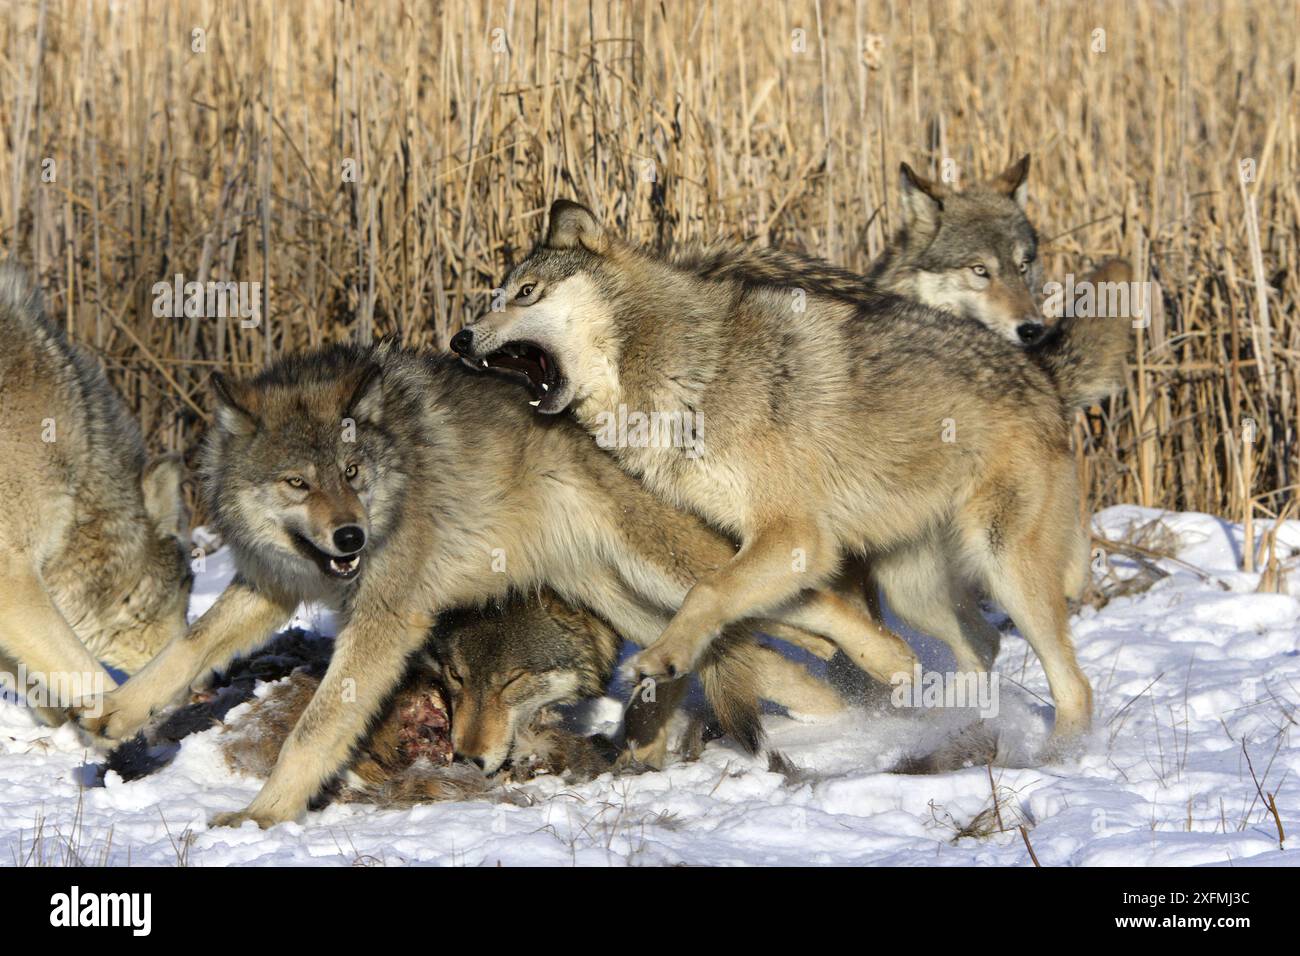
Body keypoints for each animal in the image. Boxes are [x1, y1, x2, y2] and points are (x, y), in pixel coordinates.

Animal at [79, 343, 847, 827]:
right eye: (298, 483)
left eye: (350, 474)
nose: (351, 538)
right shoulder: (272, 584)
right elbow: (186, 649)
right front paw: (113, 712)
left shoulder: (387, 618)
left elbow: (313, 732)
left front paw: (262, 815)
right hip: (626, 603)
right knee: (751, 651)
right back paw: (842, 718)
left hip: (660, 566)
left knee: (811, 596)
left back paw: (862, 673)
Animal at [452, 199, 1107, 756]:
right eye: (496, 296)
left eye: (526, 293)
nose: (459, 338)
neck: (681, 370)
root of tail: (1045, 379)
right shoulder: (770, 546)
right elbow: (744, 599)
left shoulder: (795, 538)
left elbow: (706, 591)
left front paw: (664, 658)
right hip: (912, 588)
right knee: (981, 645)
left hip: (1006, 567)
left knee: (1074, 686)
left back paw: (1059, 758)